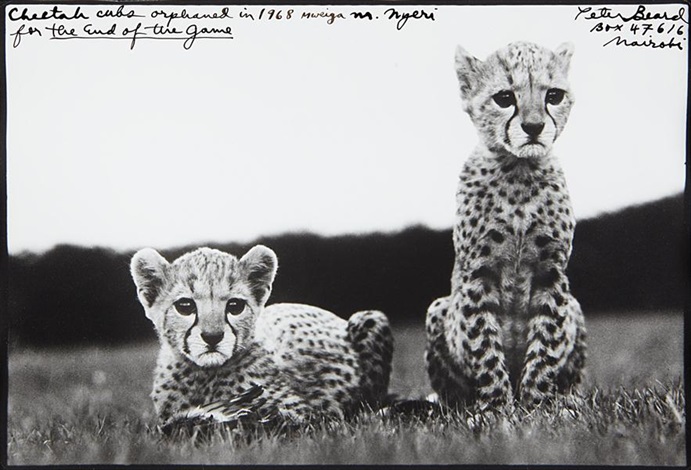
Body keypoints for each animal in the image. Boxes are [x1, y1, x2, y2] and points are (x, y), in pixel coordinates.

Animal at [130, 244, 393, 431]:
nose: (213, 337)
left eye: (235, 306)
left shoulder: (307, 415)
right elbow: (174, 423)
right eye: (185, 306)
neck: (205, 375)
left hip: (371, 318)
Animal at [425, 41, 586, 413]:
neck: (518, 170)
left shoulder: (551, 271)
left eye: (553, 95)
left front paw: (538, 406)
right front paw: (496, 408)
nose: (534, 126)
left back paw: (569, 400)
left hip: (576, 307)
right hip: (438, 308)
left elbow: (546, 341)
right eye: (504, 98)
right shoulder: (478, 273)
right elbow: (483, 343)